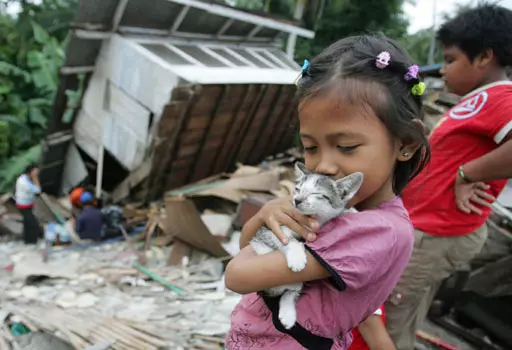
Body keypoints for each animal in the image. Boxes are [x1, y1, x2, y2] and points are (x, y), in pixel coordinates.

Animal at [249, 163, 362, 330]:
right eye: (297, 189)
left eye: (316, 193)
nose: (297, 200)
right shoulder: (270, 229)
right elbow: (289, 240)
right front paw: (296, 258)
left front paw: (350, 211)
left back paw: (288, 313)